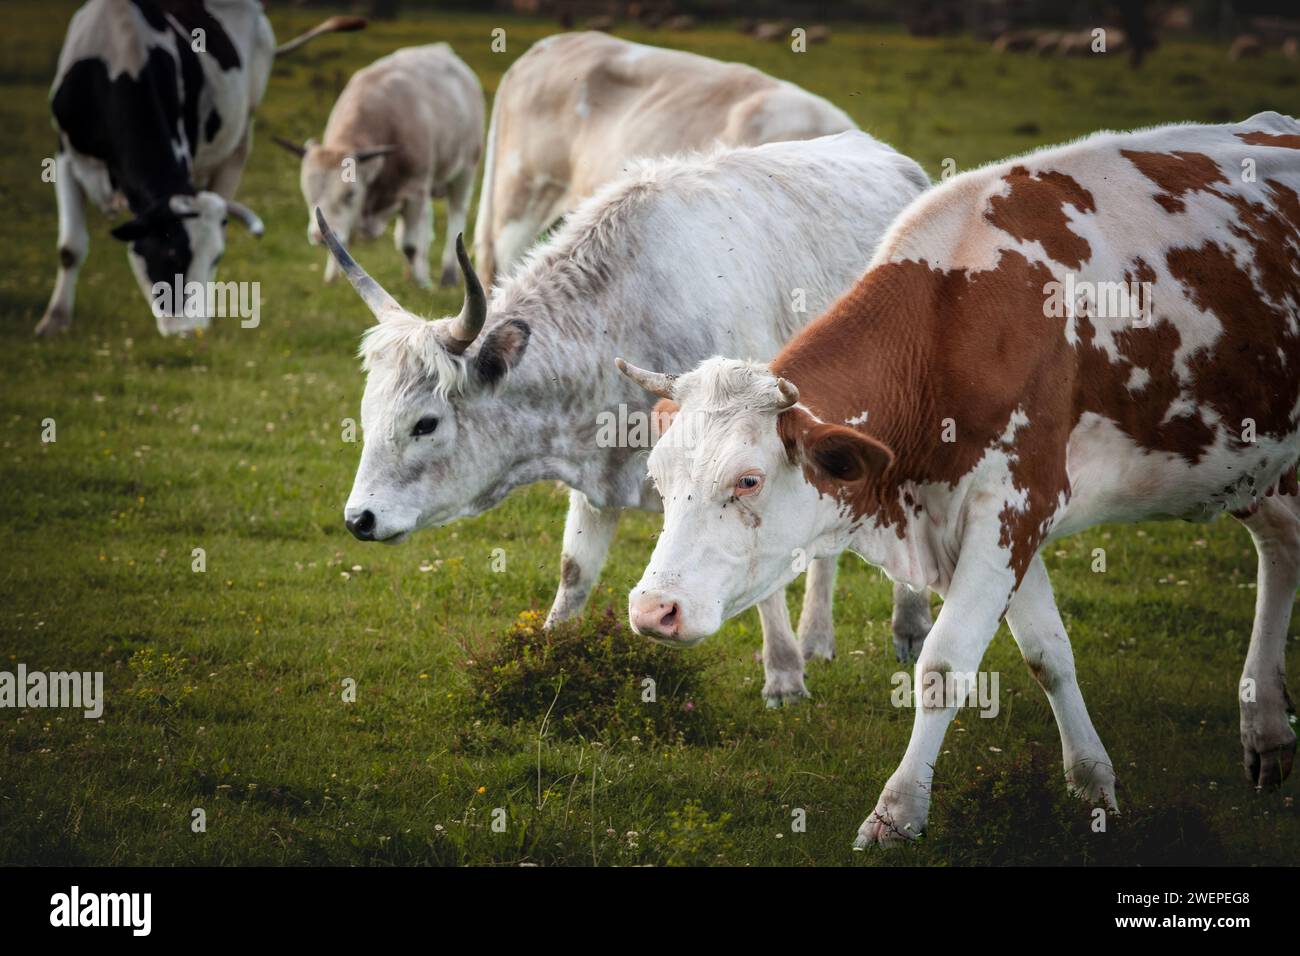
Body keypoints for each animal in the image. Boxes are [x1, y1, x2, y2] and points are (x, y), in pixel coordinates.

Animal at [37, 0, 364, 337]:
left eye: (216, 258)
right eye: (171, 255)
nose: (189, 331)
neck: (120, 62)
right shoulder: (64, 154)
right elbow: (70, 248)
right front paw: (54, 321)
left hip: (239, 138)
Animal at [273, 44, 484, 291]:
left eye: (350, 194)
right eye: (307, 192)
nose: (317, 237)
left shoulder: (414, 189)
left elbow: (409, 245)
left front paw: (422, 286)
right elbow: (339, 244)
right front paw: (332, 279)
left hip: (464, 170)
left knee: (456, 213)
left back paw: (446, 276)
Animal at [323, 131, 933, 705]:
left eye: (424, 424)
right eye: (368, 413)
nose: (359, 519)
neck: (625, 313)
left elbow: (766, 581)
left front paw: (783, 677)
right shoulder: (598, 483)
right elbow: (575, 573)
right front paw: (546, 660)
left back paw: (908, 627)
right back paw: (817, 638)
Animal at [619, 111, 1300, 844]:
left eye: (747, 481)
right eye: (659, 477)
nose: (652, 610)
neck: (955, 327)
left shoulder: (1017, 503)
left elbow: (945, 665)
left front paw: (897, 812)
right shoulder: (996, 520)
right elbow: (1048, 654)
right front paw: (1092, 784)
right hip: (1247, 455)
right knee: (1282, 545)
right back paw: (1267, 730)